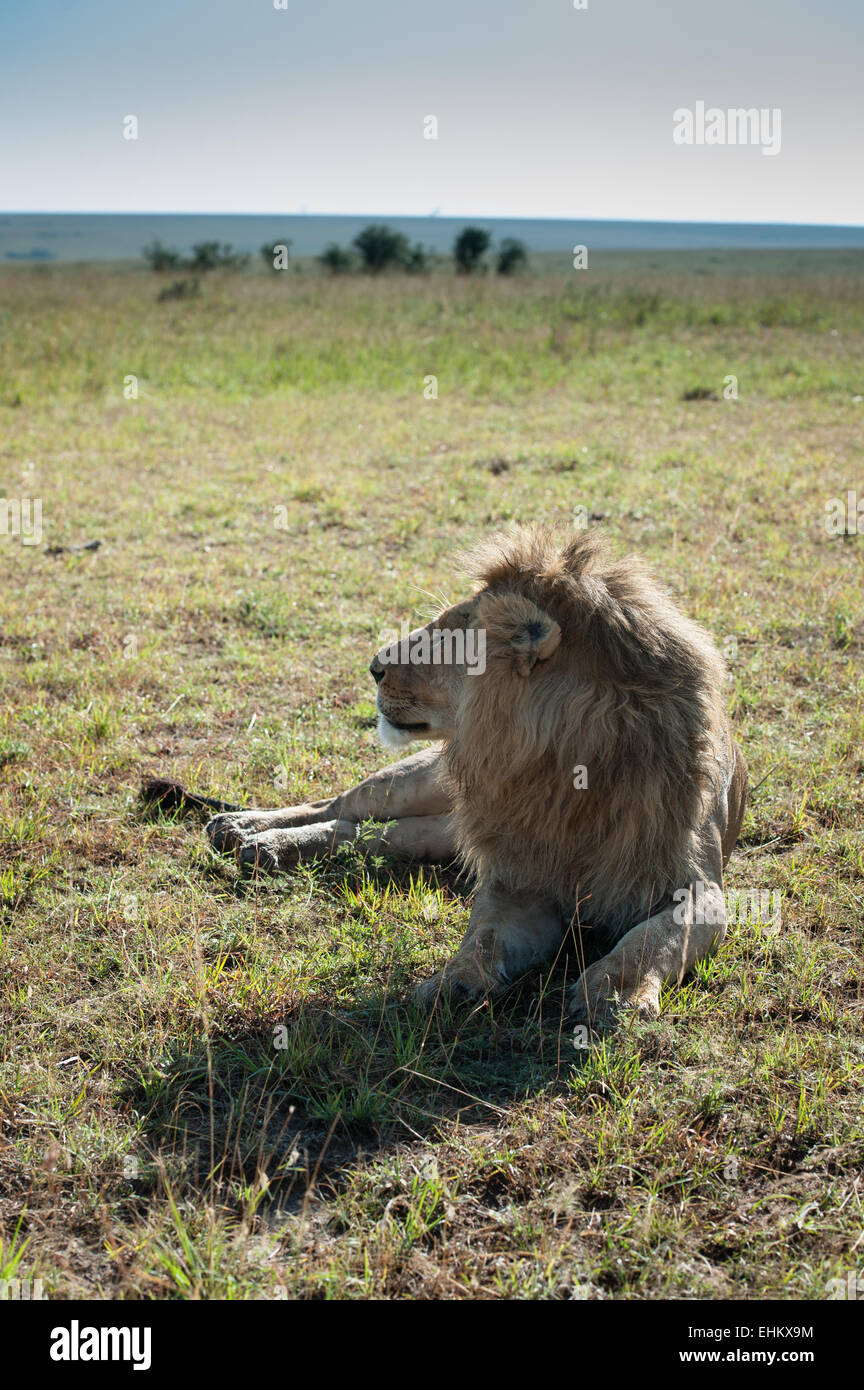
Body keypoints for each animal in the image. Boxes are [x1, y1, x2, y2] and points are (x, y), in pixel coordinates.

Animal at [207, 525, 747, 1026]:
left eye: (449, 636)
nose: (373, 667)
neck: (557, 769)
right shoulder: (519, 877)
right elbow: (484, 933)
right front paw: (455, 981)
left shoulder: (700, 888)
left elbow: (652, 940)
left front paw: (615, 996)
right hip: (416, 780)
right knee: (339, 805)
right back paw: (243, 830)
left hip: (441, 829)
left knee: (376, 834)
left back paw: (262, 846)